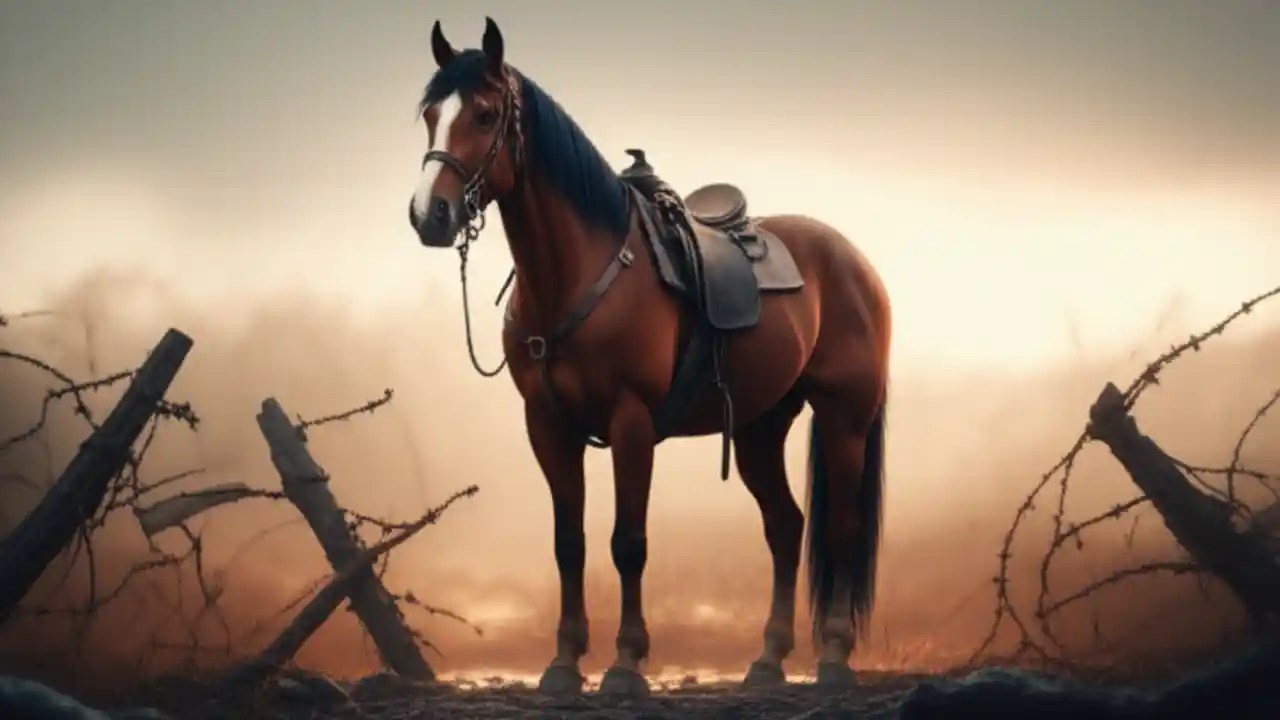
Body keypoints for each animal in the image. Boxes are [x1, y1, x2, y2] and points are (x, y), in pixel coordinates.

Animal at [407, 17, 892, 697]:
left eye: (483, 114)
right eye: (430, 114)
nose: (431, 214)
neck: (579, 270)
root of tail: (855, 263)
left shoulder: (631, 422)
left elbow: (627, 543)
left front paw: (625, 664)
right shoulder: (547, 426)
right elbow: (569, 543)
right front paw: (563, 663)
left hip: (845, 419)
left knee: (841, 527)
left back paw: (834, 658)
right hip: (760, 429)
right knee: (786, 527)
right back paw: (768, 661)